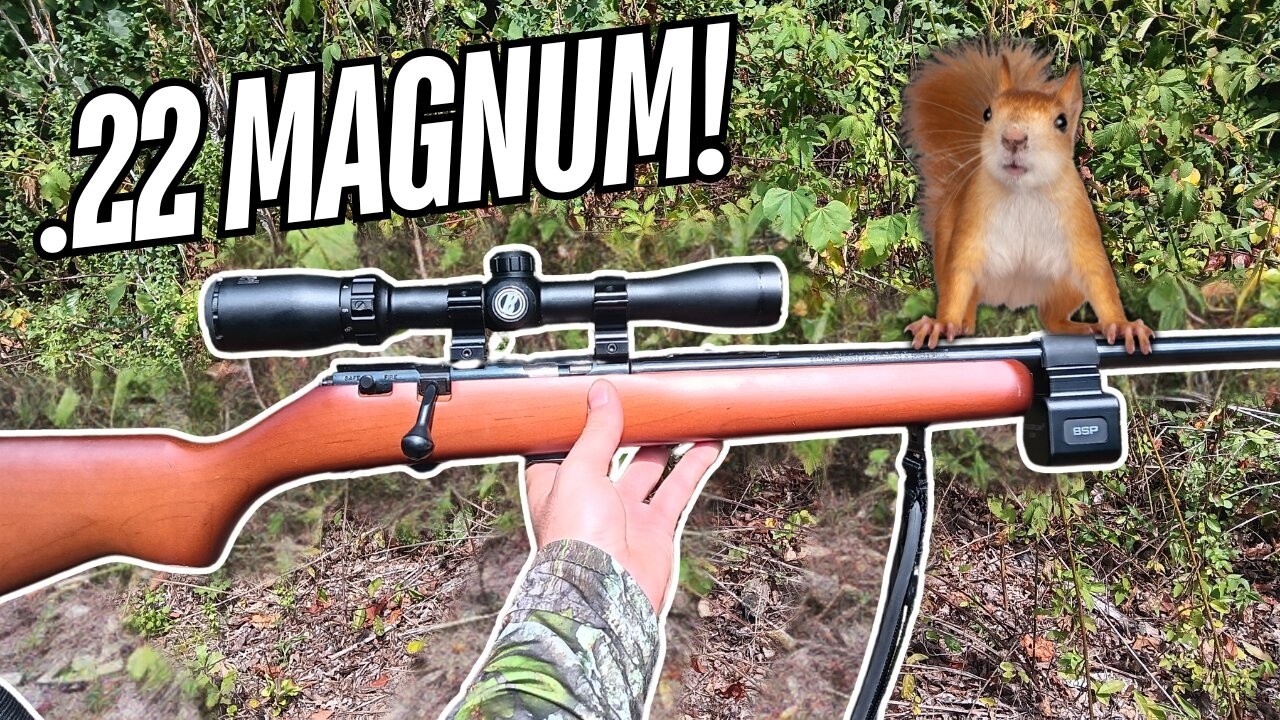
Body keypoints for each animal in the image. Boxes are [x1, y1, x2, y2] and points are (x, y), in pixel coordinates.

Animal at [899, 42, 1153, 354]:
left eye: (1061, 122)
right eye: (987, 113)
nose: (1013, 138)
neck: (1023, 193)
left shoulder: (1081, 228)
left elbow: (1099, 278)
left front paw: (1122, 325)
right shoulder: (970, 230)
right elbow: (960, 273)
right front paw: (942, 323)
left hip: (1064, 284)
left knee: (1051, 317)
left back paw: (1079, 327)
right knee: (966, 299)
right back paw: (961, 325)